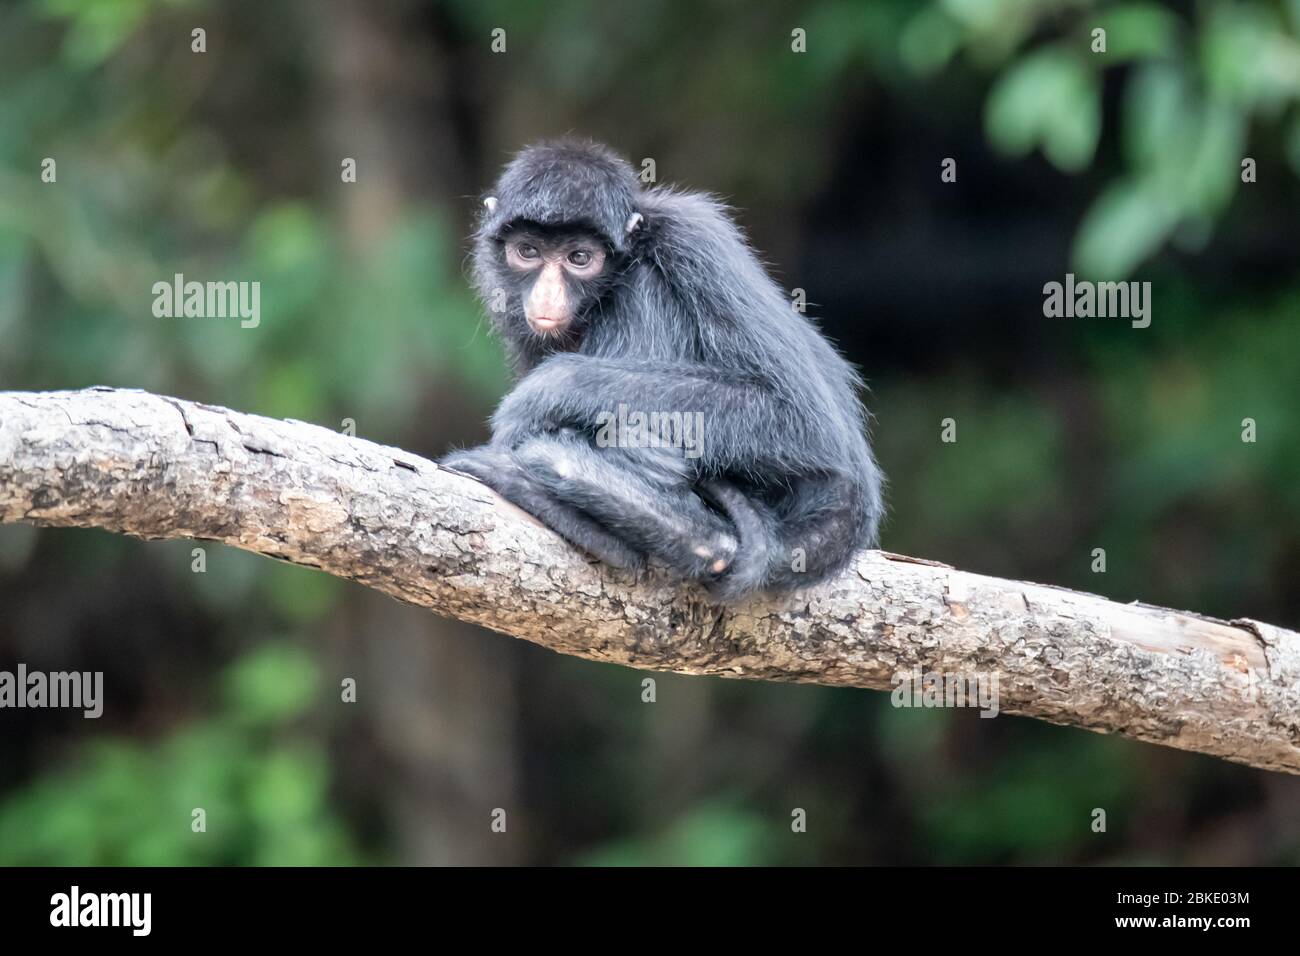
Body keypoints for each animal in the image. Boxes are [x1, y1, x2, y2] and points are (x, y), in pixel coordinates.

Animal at [442, 139, 884, 599]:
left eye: (579, 258)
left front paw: (542, 393)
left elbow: (803, 421)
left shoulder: (693, 236)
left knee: (643, 281)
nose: (548, 296)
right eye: (528, 252)